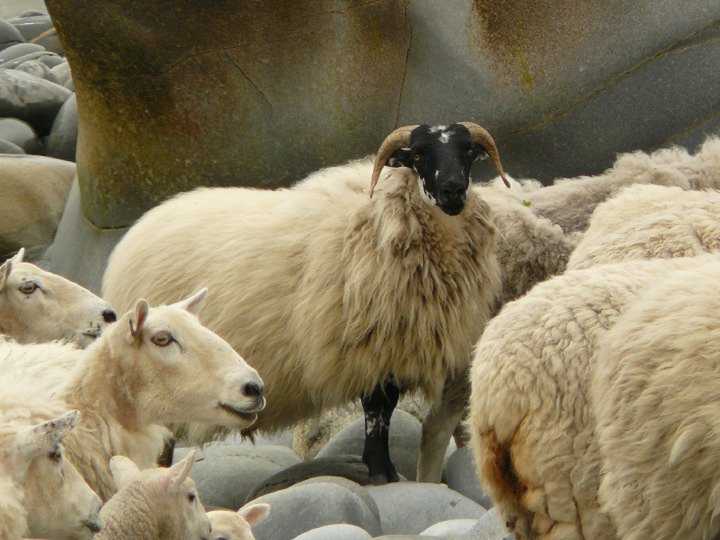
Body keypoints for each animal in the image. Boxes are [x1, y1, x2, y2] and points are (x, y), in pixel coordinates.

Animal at [102, 122, 509, 484]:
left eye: (468, 151)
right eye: (419, 154)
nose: (453, 190)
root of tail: (134, 234)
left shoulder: (390, 350)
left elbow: (384, 412)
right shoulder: (373, 348)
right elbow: (378, 413)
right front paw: (381, 473)